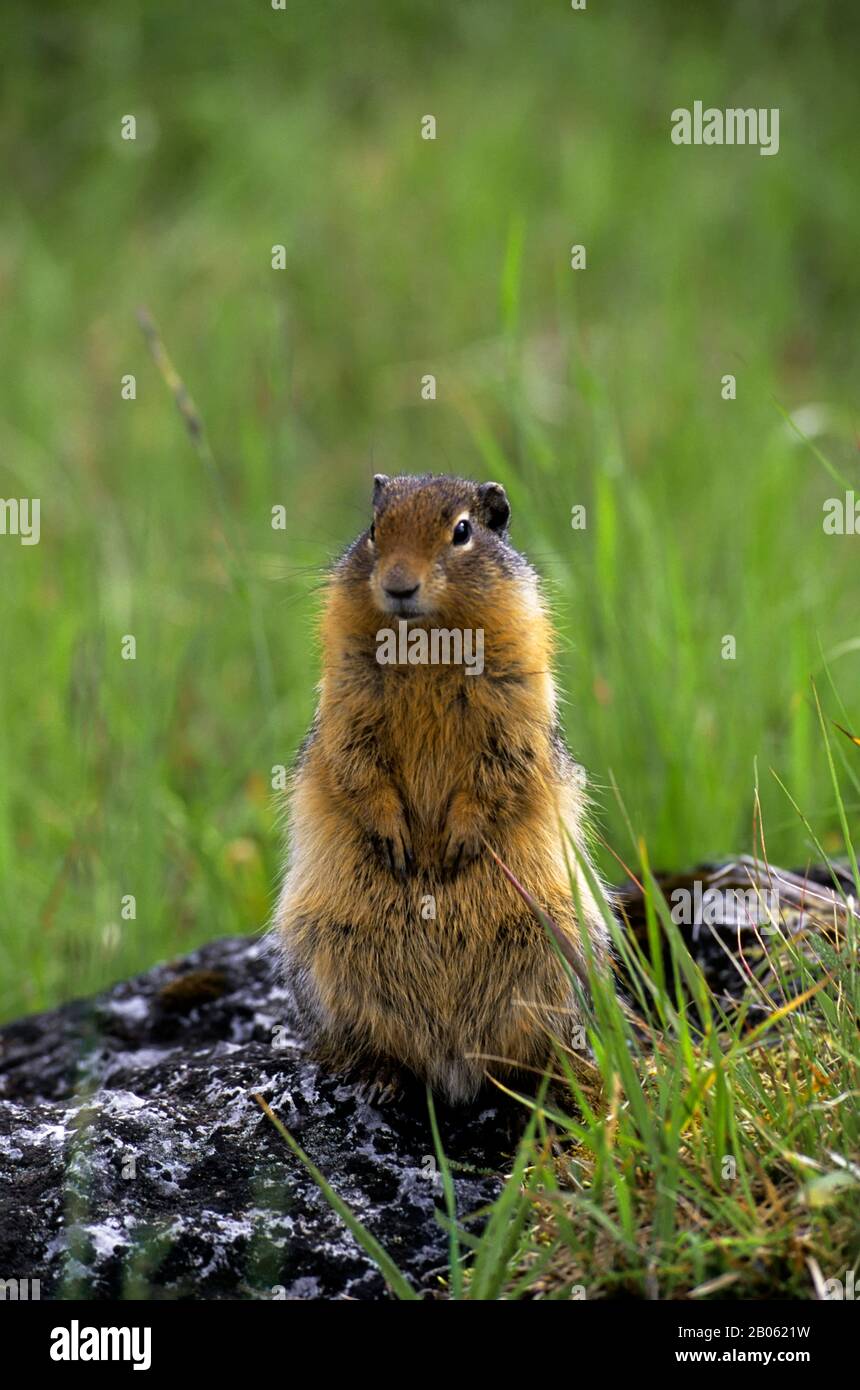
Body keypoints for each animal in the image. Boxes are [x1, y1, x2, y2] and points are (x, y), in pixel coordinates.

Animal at [276, 473, 613, 1104]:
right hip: (325, 953)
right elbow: (354, 757)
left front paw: (459, 840)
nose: (398, 584)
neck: (426, 640)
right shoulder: (347, 691)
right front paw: (396, 838)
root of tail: (454, 1065)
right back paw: (381, 1076)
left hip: (558, 944)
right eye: (374, 528)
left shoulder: (516, 685)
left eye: (462, 530)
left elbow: (503, 760)